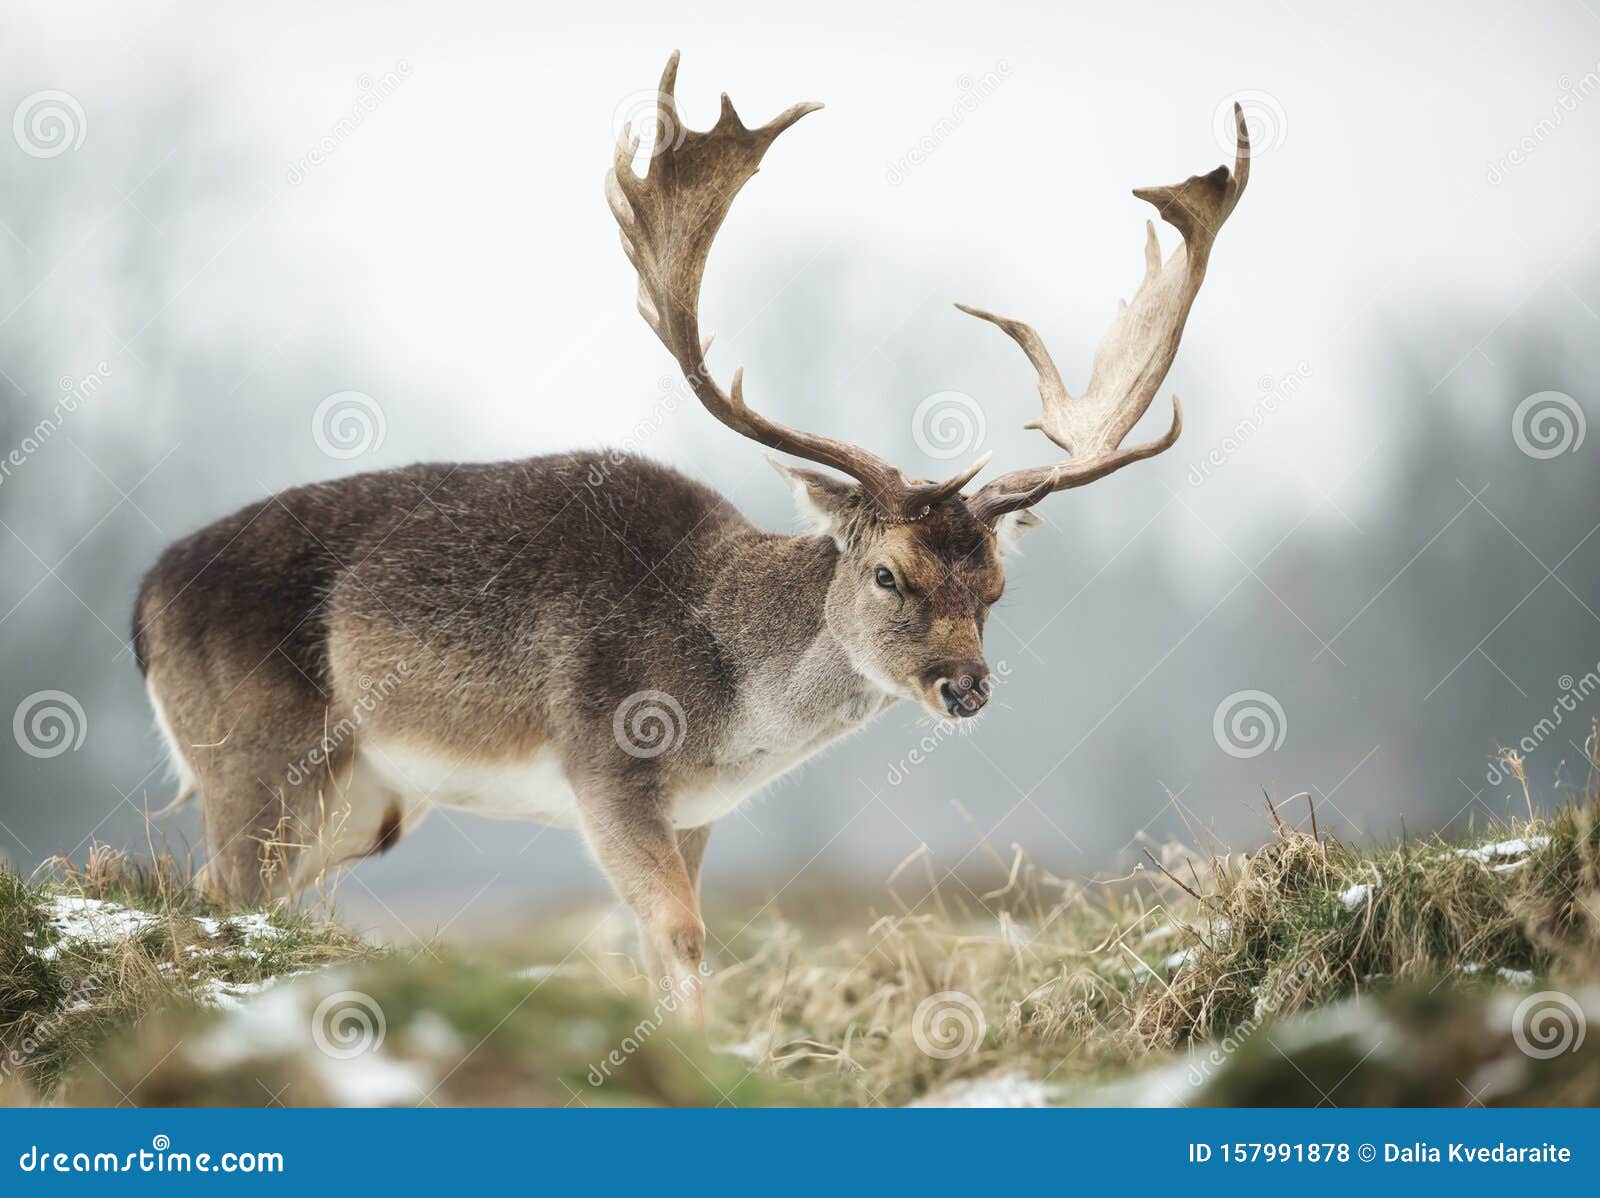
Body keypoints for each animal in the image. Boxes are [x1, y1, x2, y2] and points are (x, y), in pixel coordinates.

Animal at [131, 52, 1250, 1020]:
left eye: (996, 591)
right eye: (888, 574)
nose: (966, 686)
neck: (728, 707)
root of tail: (142, 602)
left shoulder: (701, 810)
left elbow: (668, 944)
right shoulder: (604, 761)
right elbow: (678, 935)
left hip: (363, 802)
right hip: (254, 758)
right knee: (220, 896)